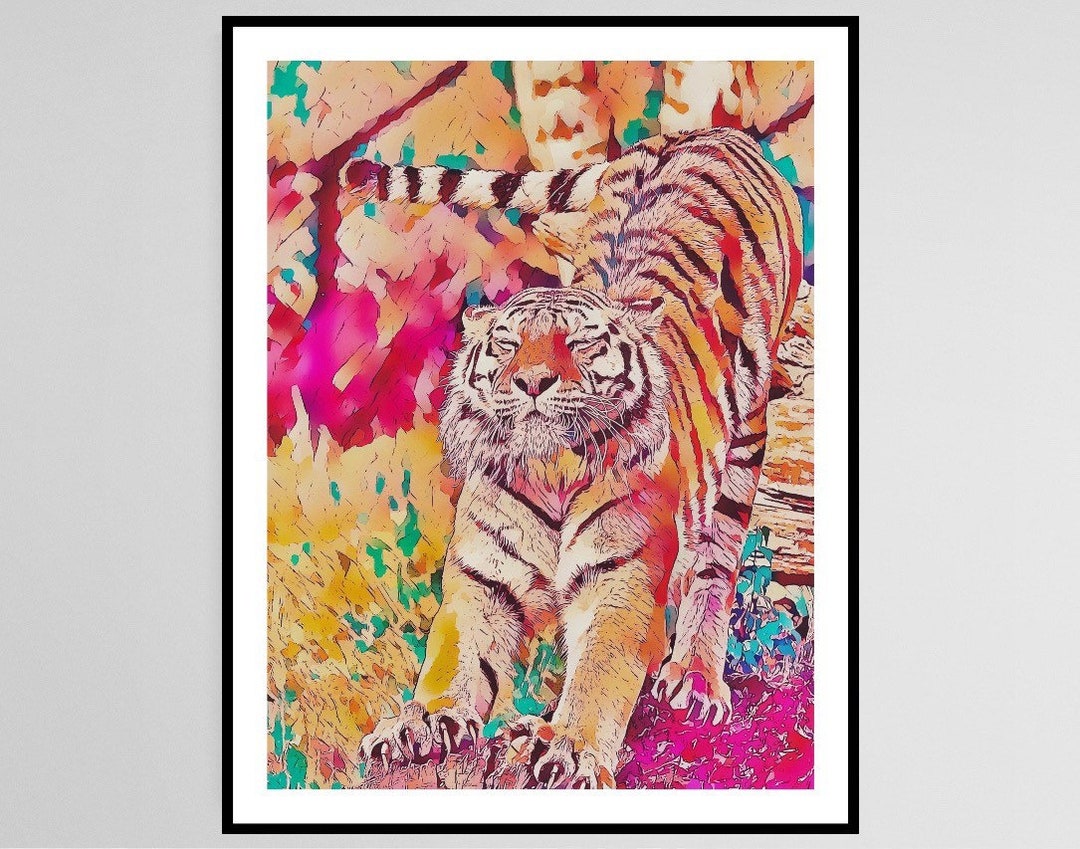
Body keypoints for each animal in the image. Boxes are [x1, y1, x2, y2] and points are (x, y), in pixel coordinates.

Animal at [344, 126, 803, 788]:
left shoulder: (621, 579)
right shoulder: (482, 579)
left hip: (745, 442)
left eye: (581, 342)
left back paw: (695, 679)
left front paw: (569, 749)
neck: (552, 470)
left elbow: (598, 673)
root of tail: (714, 132)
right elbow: (453, 656)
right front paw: (421, 723)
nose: (533, 381)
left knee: (716, 564)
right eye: (506, 343)